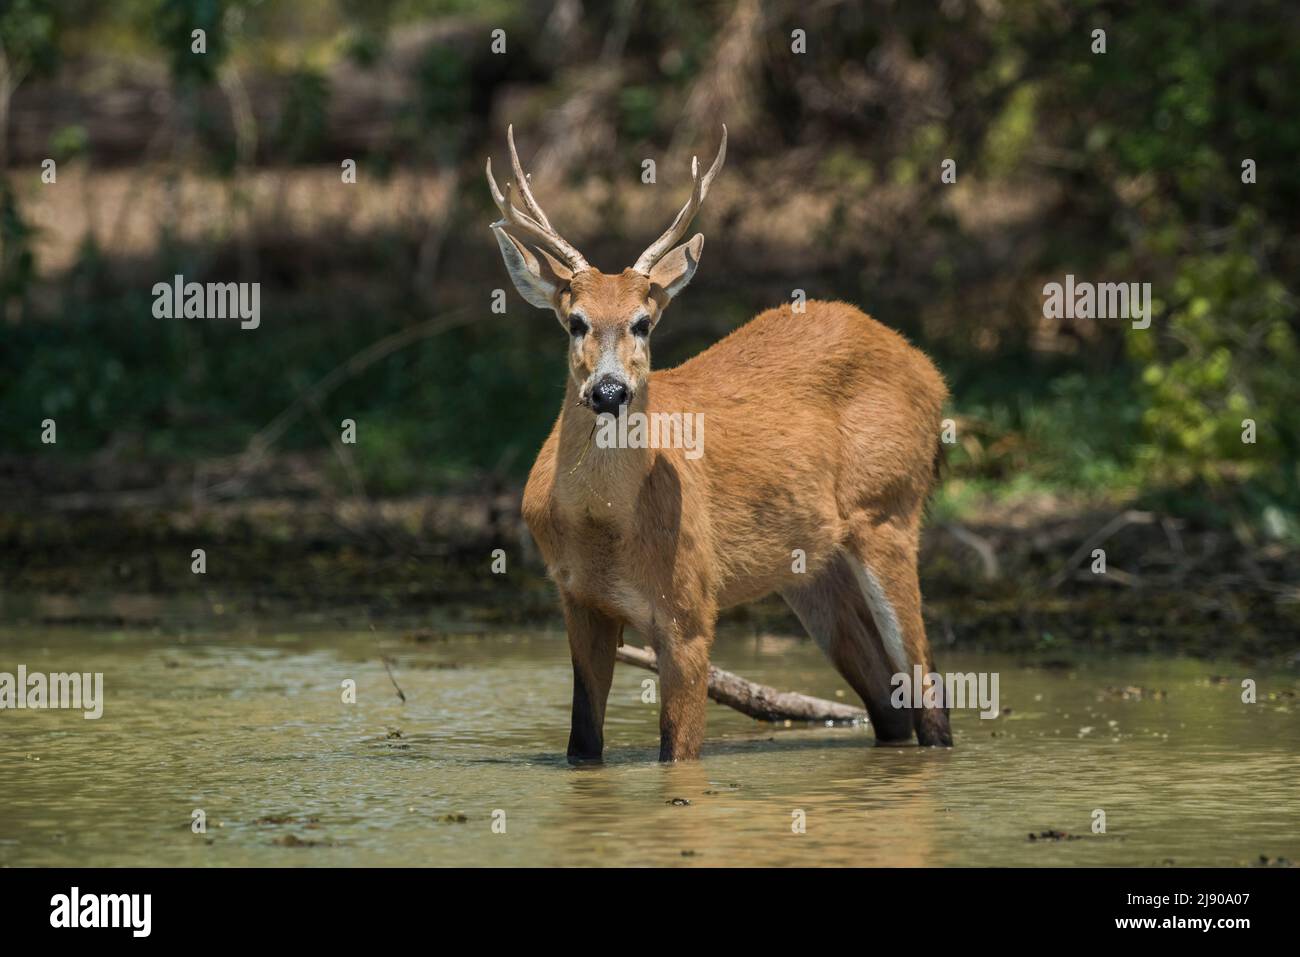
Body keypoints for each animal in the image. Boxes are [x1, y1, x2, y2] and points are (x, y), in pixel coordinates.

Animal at [486, 125, 953, 762]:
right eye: (575, 321)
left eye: (643, 323)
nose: (609, 391)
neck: (603, 527)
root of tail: (930, 373)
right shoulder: (577, 600)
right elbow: (583, 744)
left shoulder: (690, 607)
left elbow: (677, 753)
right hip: (811, 567)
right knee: (888, 703)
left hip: (889, 510)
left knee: (929, 693)